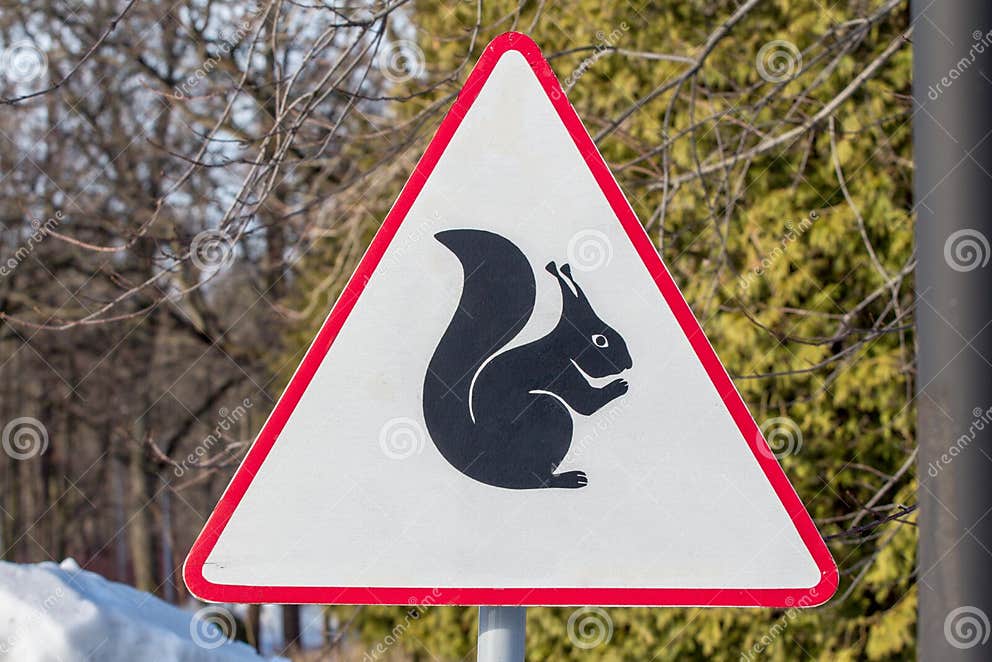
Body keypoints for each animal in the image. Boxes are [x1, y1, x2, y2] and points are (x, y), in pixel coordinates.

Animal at [423, 229, 632, 489]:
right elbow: (587, 405)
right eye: (600, 340)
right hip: (552, 417)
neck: (561, 346)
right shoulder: (561, 370)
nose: (629, 363)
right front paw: (619, 386)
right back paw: (570, 479)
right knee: (537, 479)